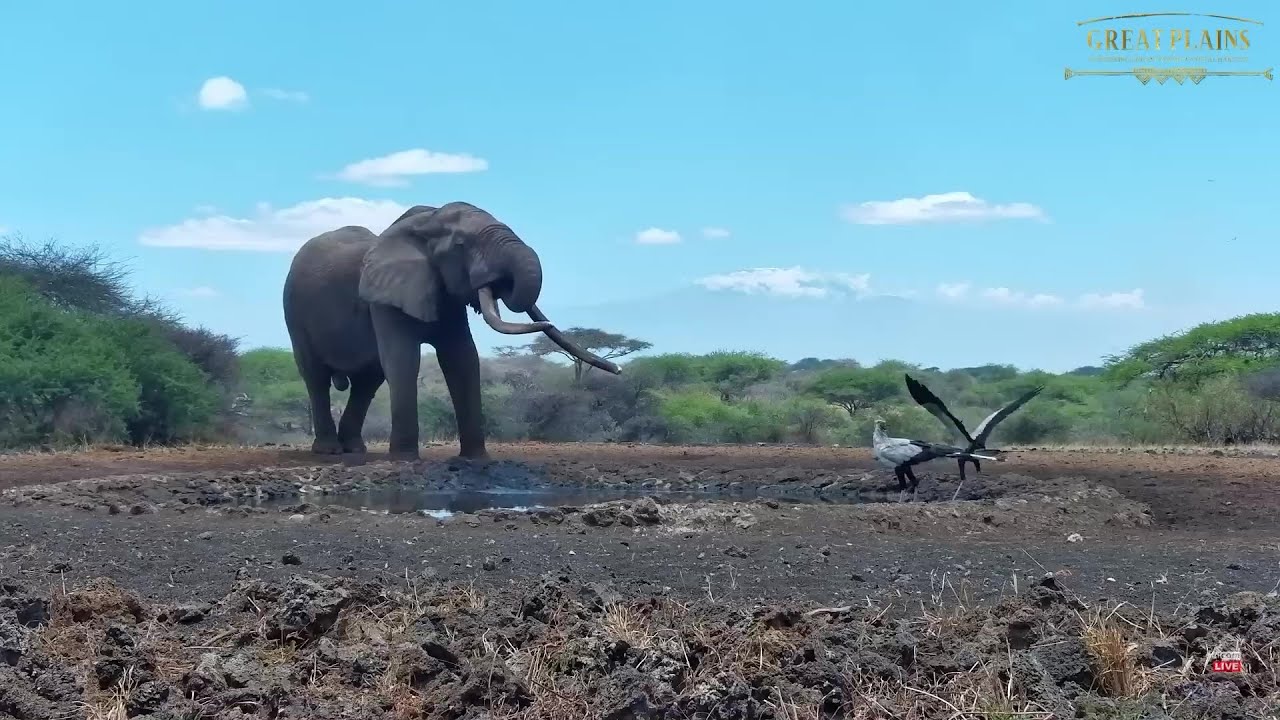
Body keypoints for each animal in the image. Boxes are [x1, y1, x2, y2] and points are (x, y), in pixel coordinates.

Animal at [282, 201, 620, 462]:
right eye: (461, 246)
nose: (617, 369)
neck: (426, 220)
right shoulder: (384, 297)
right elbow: (404, 360)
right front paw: (404, 460)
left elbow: (462, 358)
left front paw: (476, 459)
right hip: (294, 311)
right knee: (315, 376)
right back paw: (329, 451)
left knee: (368, 381)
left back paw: (354, 450)